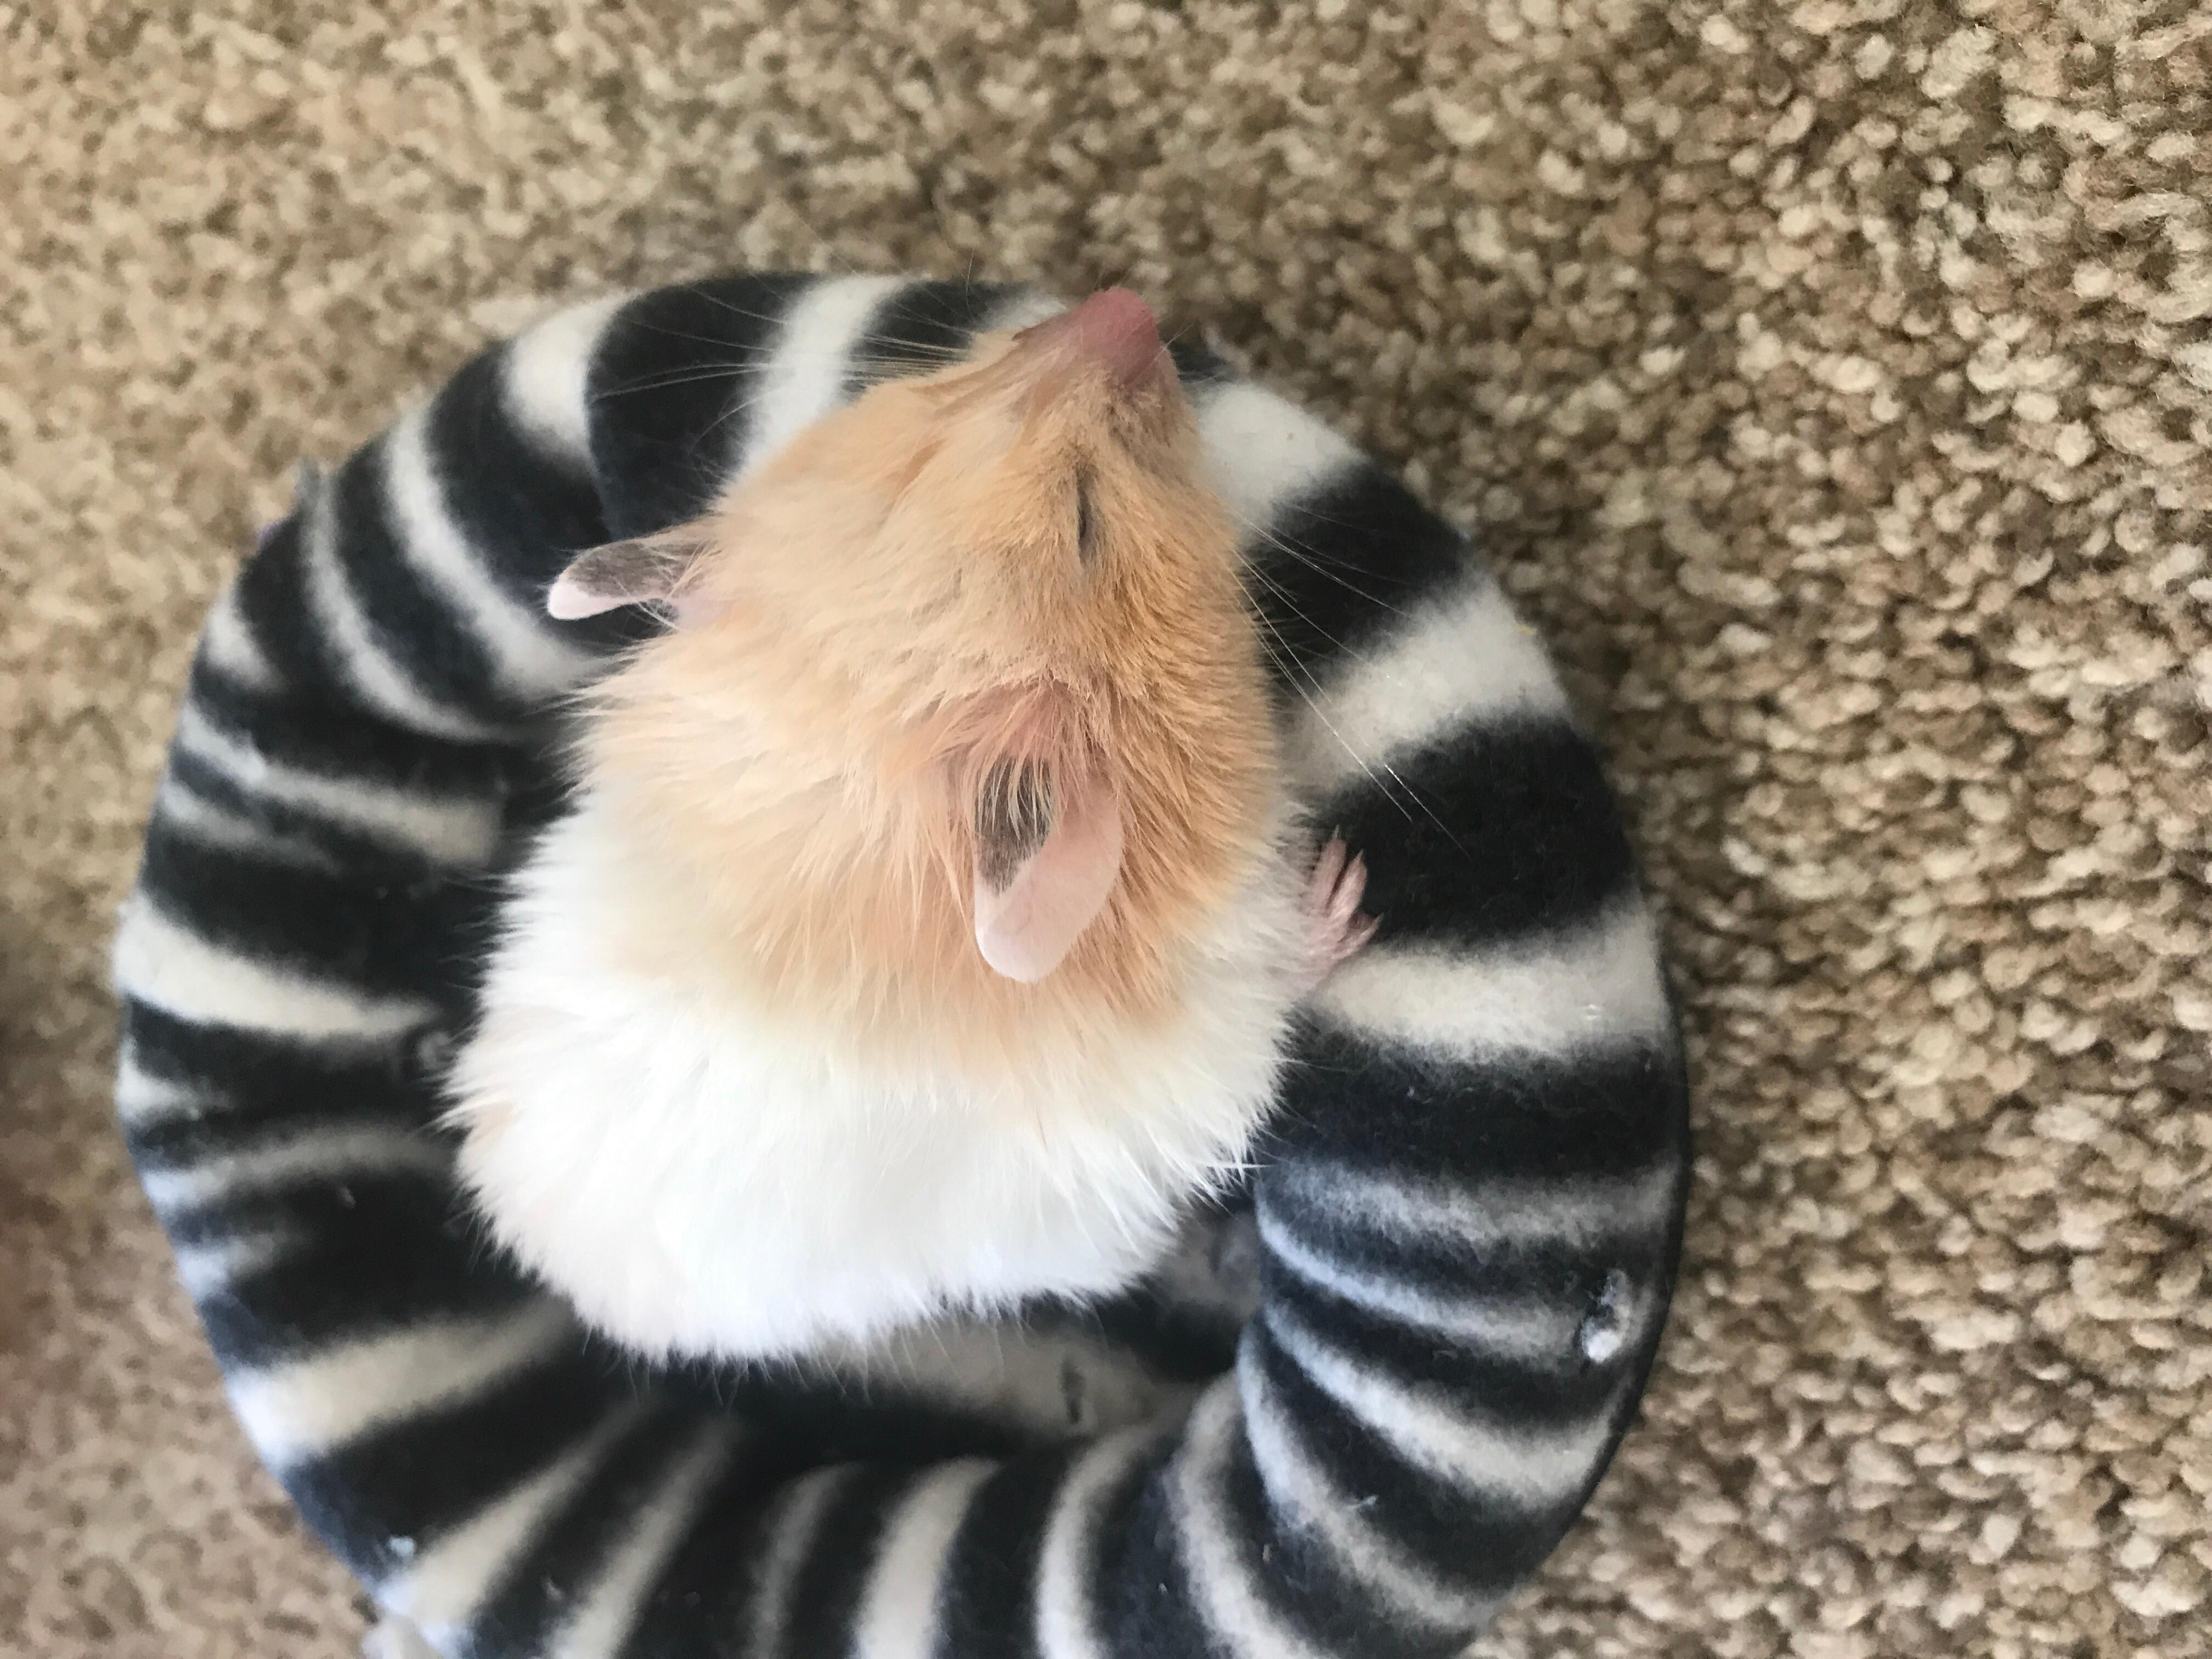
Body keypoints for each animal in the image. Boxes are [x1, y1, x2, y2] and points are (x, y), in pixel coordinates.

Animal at [445, 290, 1377, 1365]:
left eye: (931, 399)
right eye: (1087, 520)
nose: (1127, 304)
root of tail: (545, 1257)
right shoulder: (1219, 1022)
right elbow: (1283, 973)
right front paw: (1347, 890)